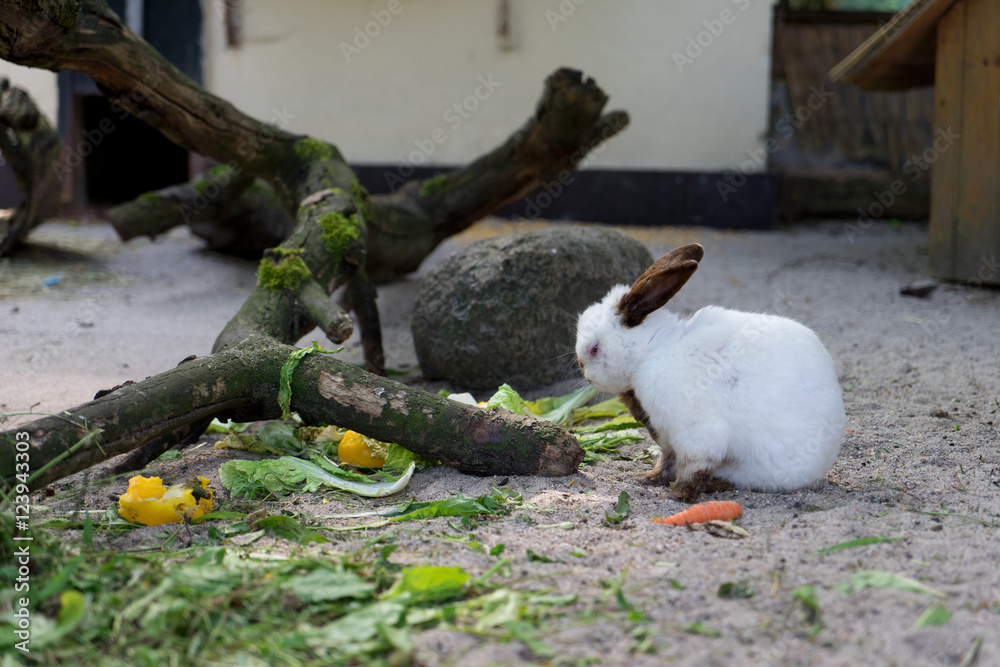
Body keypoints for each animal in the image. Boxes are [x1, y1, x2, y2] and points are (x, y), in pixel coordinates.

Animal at [575, 243, 845, 503]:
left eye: (594, 349)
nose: (585, 373)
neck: (652, 351)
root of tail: (820, 468)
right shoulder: (668, 436)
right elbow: (667, 461)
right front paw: (646, 478)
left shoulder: (696, 434)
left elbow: (693, 469)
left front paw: (676, 496)